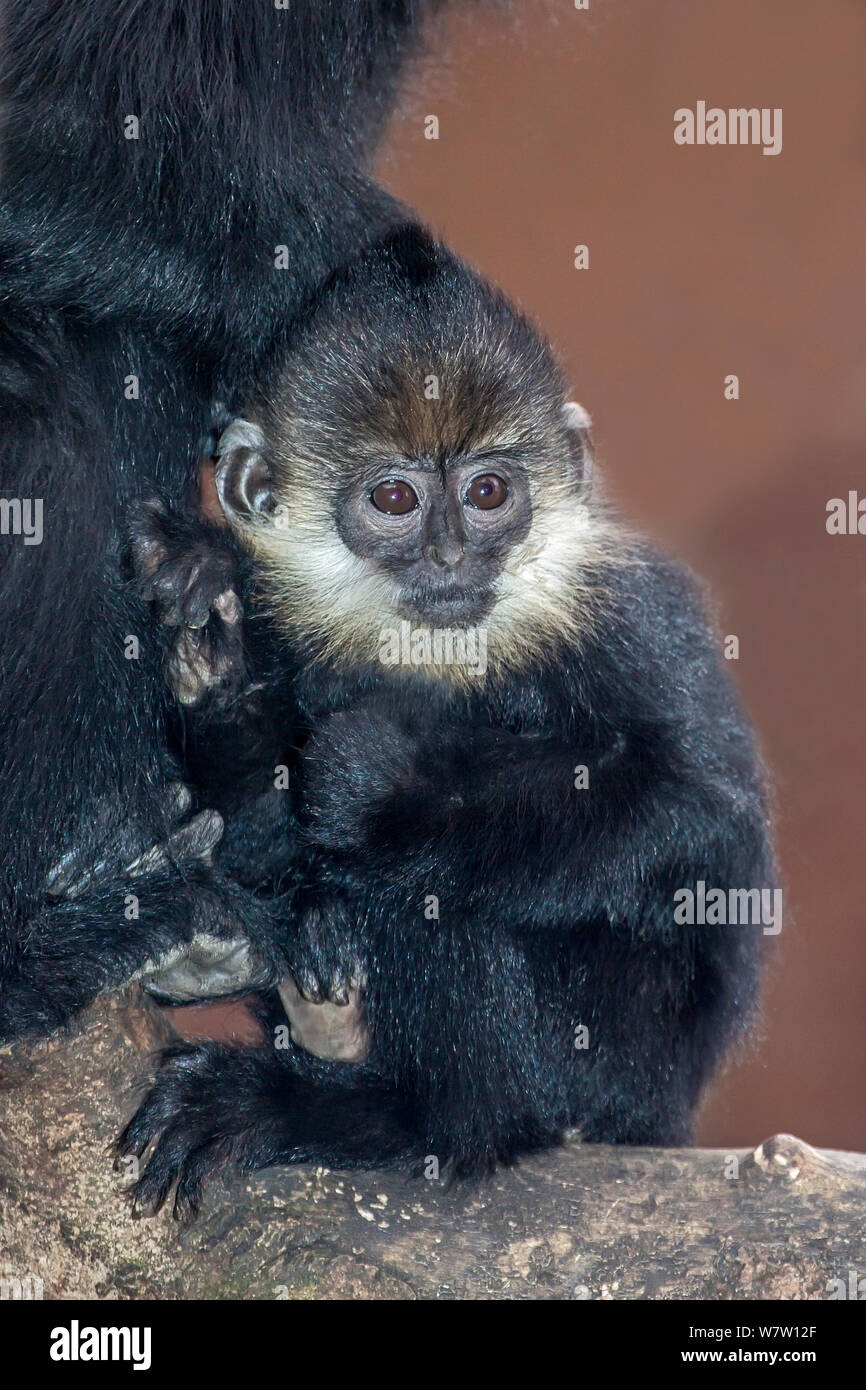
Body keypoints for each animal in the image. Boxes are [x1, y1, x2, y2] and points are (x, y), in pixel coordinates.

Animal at [119, 224, 775, 1216]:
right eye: (396, 500)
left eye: (488, 494)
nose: (453, 558)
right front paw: (215, 657)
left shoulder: (630, 619)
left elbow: (696, 819)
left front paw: (381, 783)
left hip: (602, 1056)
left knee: (442, 900)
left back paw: (405, 1116)